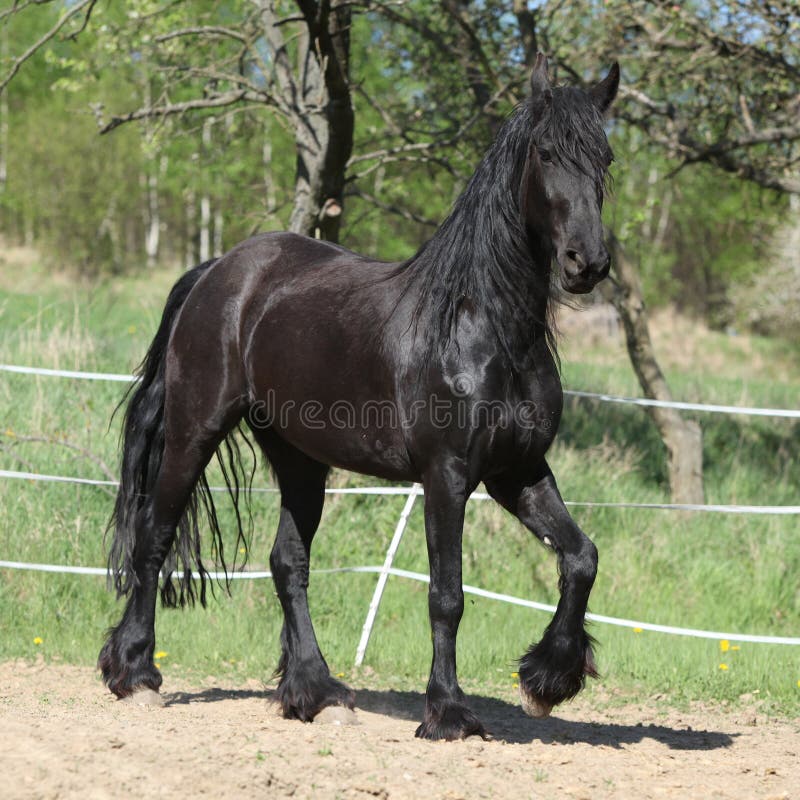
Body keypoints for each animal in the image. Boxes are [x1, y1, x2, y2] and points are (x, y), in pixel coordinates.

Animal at [99, 54, 620, 741]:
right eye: (547, 152)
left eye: (605, 158)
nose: (588, 262)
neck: (482, 326)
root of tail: (220, 270)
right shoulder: (448, 477)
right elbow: (447, 596)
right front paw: (448, 712)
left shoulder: (519, 472)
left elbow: (582, 557)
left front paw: (547, 679)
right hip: (194, 431)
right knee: (154, 537)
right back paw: (136, 674)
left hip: (299, 457)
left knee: (287, 563)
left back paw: (314, 691)